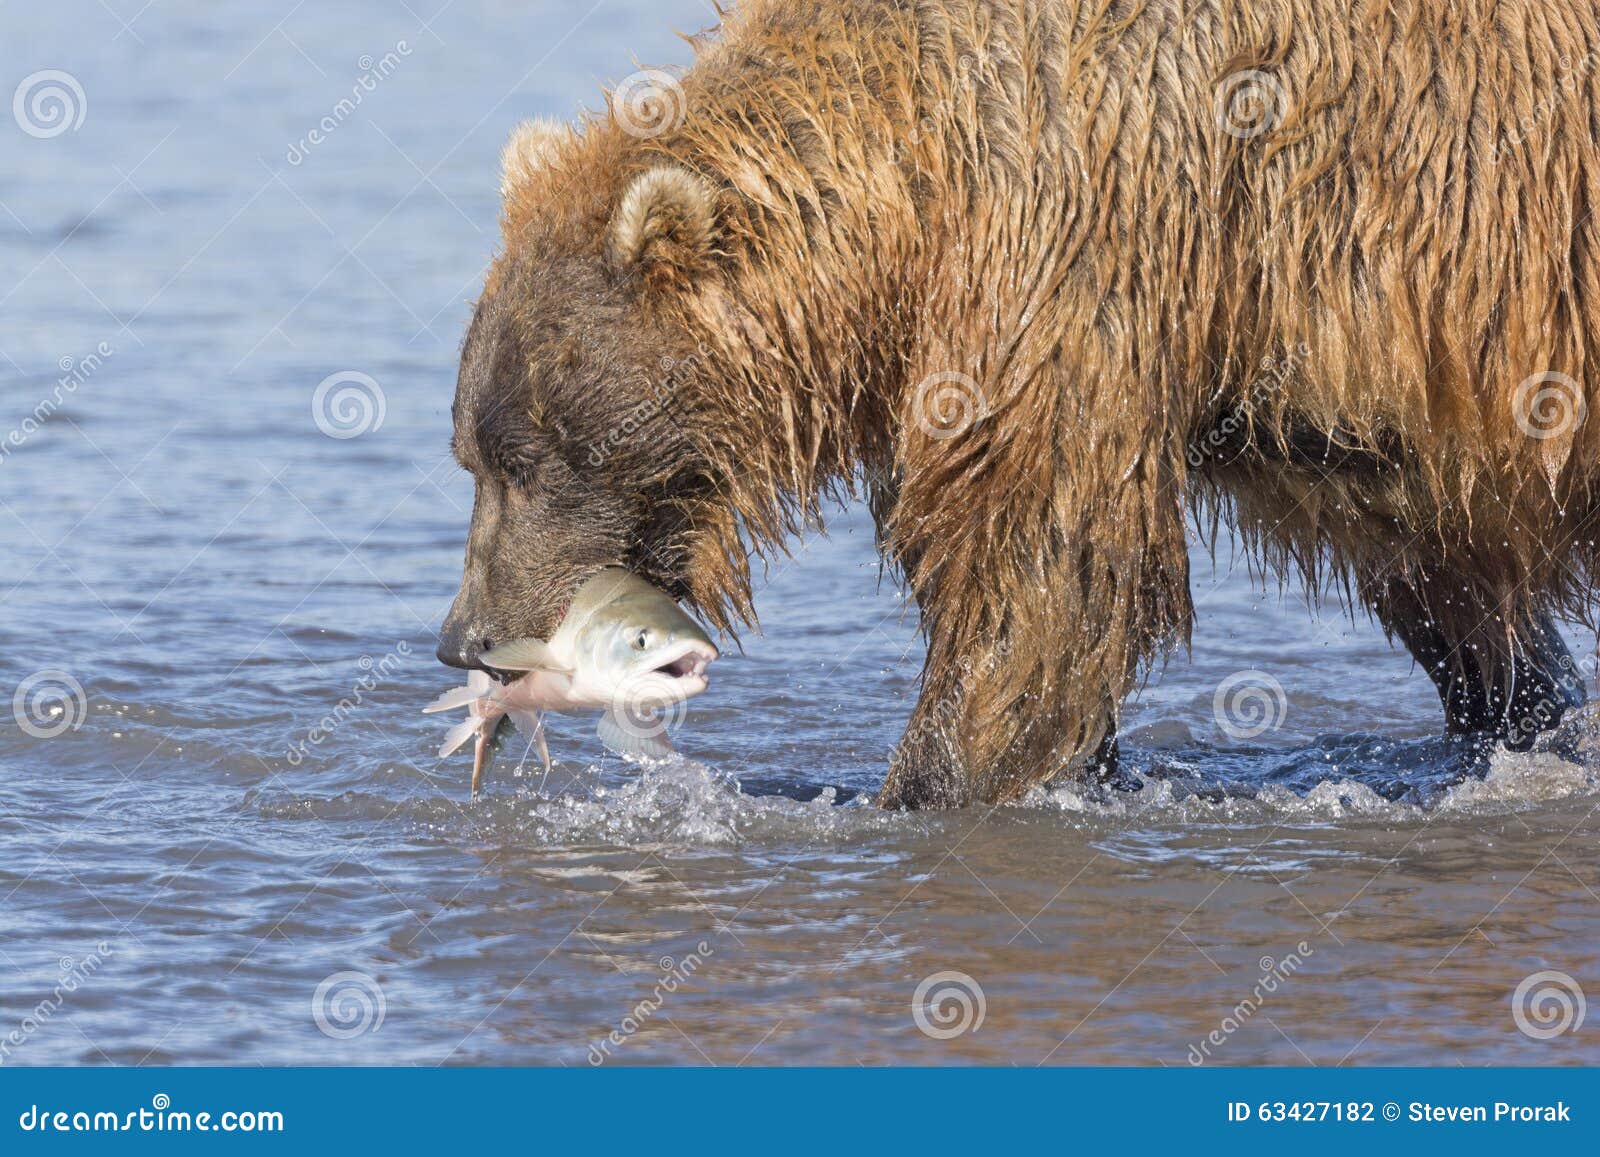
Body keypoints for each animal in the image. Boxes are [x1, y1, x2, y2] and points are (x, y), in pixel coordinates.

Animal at [439, 0, 1596, 809]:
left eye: (528, 458)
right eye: (471, 454)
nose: (463, 638)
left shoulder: (1075, 235)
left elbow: (1034, 560)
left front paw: (923, 782)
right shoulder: (1324, 372)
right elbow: (1436, 560)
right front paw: (1529, 715)